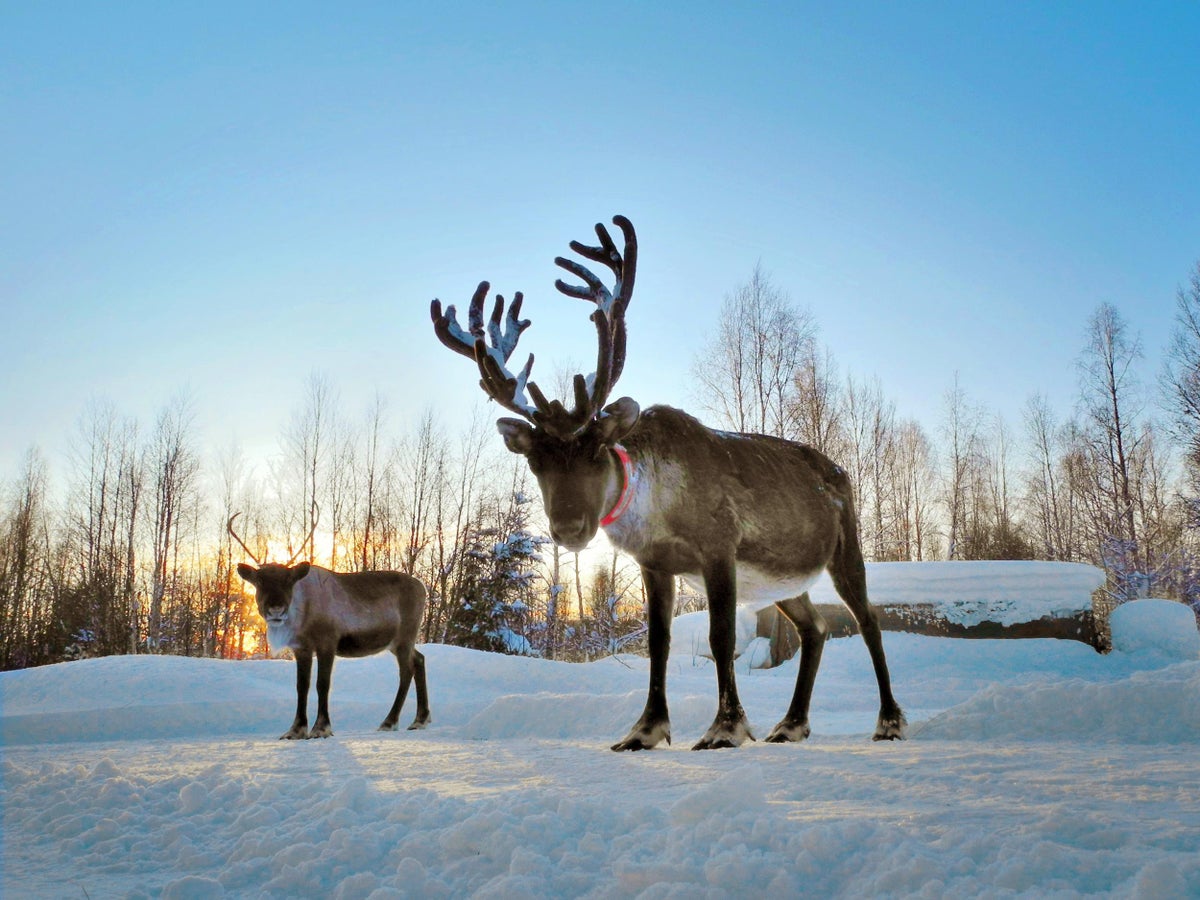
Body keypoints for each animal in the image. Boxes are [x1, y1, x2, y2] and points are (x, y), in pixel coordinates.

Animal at [229, 514, 431, 740]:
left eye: (289, 580)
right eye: (259, 581)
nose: (276, 610)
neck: (304, 611)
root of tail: (423, 588)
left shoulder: (328, 642)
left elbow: (322, 684)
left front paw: (321, 728)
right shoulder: (302, 648)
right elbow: (302, 686)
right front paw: (295, 730)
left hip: (404, 637)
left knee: (407, 670)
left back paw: (389, 722)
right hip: (398, 642)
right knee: (419, 659)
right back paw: (420, 720)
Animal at [431, 214, 905, 751]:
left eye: (596, 450)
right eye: (535, 461)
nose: (570, 529)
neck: (654, 511)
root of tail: (839, 471)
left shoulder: (719, 548)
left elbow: (721, 637)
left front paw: (725, 727)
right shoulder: (654, 564)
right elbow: (658, 642)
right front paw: (645, 729)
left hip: (846, 547)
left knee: (868, 621)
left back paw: (888, 720)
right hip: (783, 580)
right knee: (817, 628)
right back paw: (791, 723)